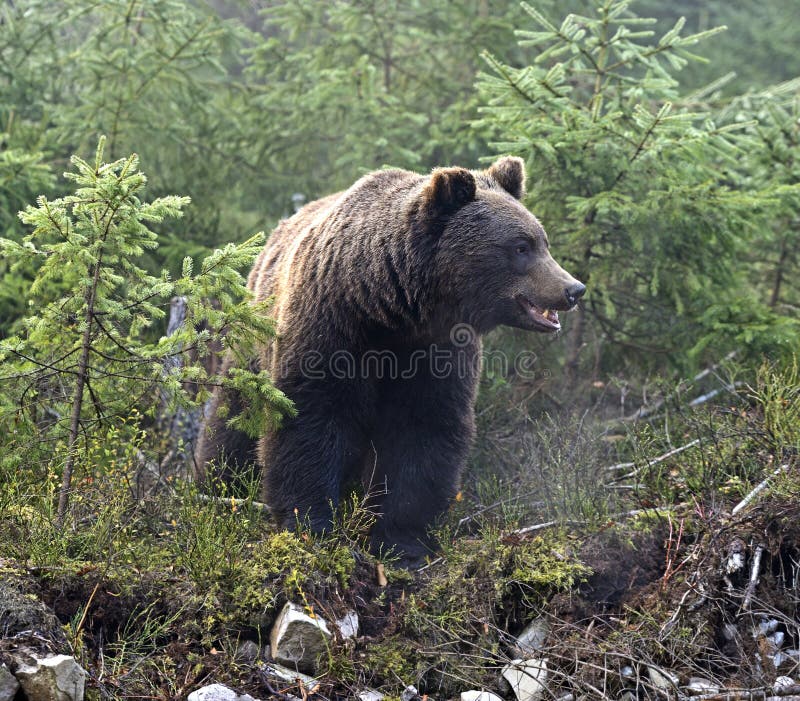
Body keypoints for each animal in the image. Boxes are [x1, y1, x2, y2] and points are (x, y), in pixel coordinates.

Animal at [194, 156, 585, 563]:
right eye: (521, 246)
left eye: (543, 242)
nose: (573, 289)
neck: (390, 308)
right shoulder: (331, 325)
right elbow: (310, 416)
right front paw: (311, 525)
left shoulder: (436, 350)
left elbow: (422, 430)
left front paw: (401, 541)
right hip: (254, 339)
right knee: (233, 416)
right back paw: (218, 485)